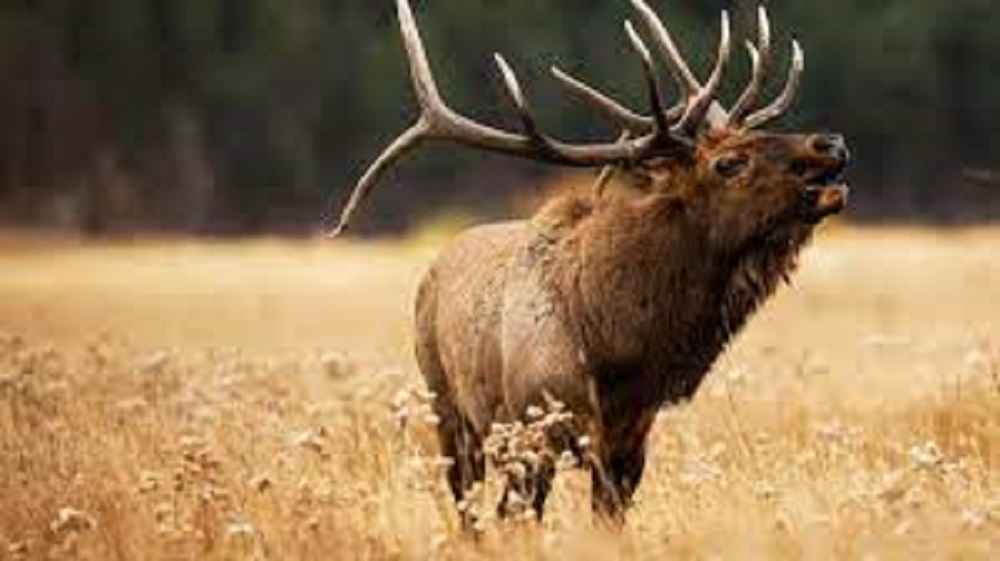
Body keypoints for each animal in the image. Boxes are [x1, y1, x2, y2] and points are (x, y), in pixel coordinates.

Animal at [333, 0, 851, 527]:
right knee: (469, 508)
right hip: (447, 408)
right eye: (729, 162)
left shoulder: (630, 440)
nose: (829, 143)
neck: (617, 344)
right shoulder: (536, 428)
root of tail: (434, 267)